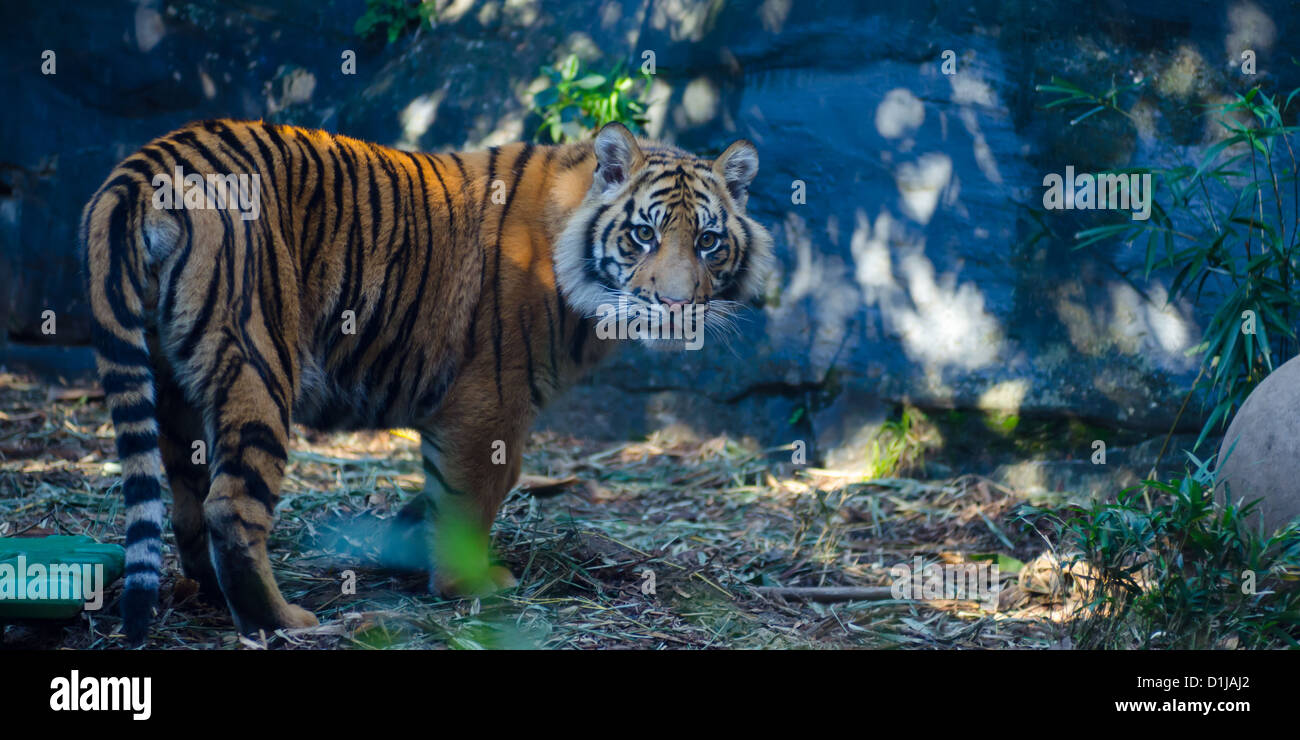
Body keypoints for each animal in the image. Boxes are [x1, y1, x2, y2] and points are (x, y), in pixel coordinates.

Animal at [81, 118, 774, 643]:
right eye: (643, 234)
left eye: (709, 242)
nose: (679, 305)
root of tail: (143, 165)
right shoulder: (490, 402)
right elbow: (478, 493)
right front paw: (469, 585)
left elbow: (440, 493)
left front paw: (407, 544)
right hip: (257, 357)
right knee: (231, 507)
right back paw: (283, 620)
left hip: (175, 386)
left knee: (186, 501)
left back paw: (204, 593)